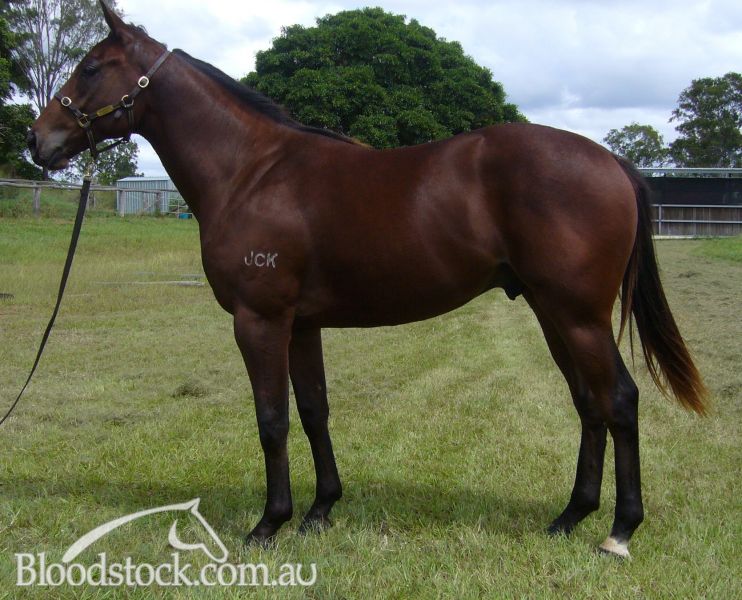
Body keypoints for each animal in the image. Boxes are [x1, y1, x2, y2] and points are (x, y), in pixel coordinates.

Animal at [28, 1, 706, 558]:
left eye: (92, 67)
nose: (39, 140)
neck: (251, 171)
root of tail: (613, 161)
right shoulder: (301, 325)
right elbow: (314, 411)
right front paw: (320, 511)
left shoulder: (259, 321)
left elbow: (271, 418)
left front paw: (268, 524)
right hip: (551, 313)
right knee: (589, 403)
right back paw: (569, 519)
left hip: (578, 316)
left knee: (619, 400)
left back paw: (619, 531)